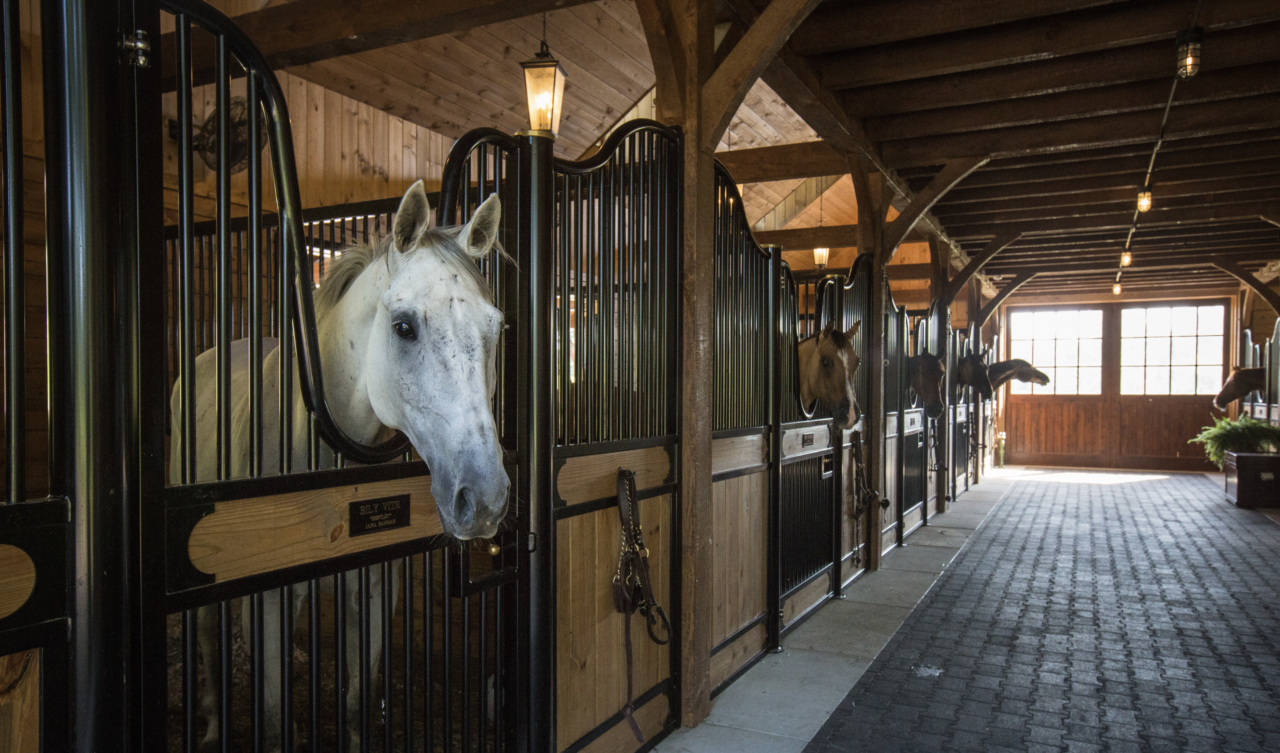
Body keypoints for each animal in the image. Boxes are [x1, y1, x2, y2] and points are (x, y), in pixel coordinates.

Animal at [169, 182, 509, 753]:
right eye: (403, 327)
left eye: (497, 327)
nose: (484, 499)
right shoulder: (269, 602)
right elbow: (272, 716)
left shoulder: (372, 593)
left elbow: (356, 701)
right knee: (210, 641)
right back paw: (213, 724)